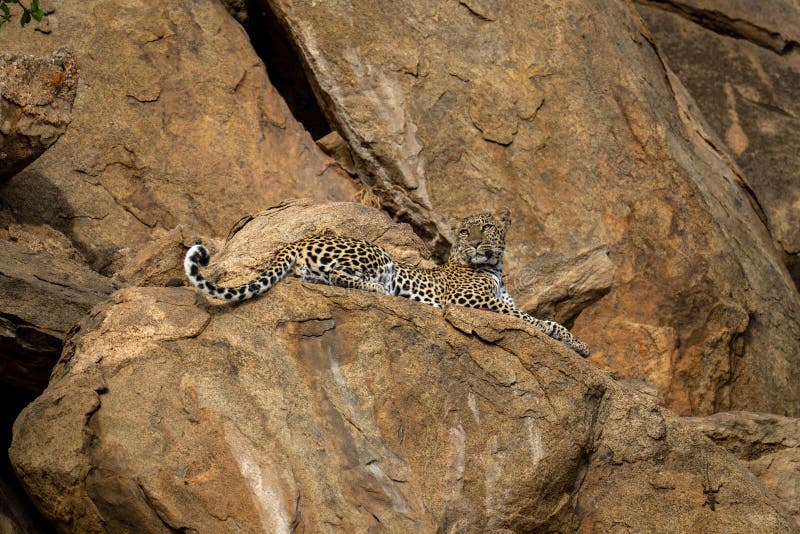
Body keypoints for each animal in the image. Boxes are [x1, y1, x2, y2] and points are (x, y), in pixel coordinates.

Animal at [184, 210, 591, 357]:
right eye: (465, 231)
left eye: (487, 227)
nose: (476, 243)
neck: (495, 267)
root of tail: (293, 242)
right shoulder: (467, 299)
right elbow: (536, 320)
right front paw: (571, 340)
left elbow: (532, 316)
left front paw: (578, 344)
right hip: (378, 254)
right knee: (340, 276)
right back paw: (387, 292)